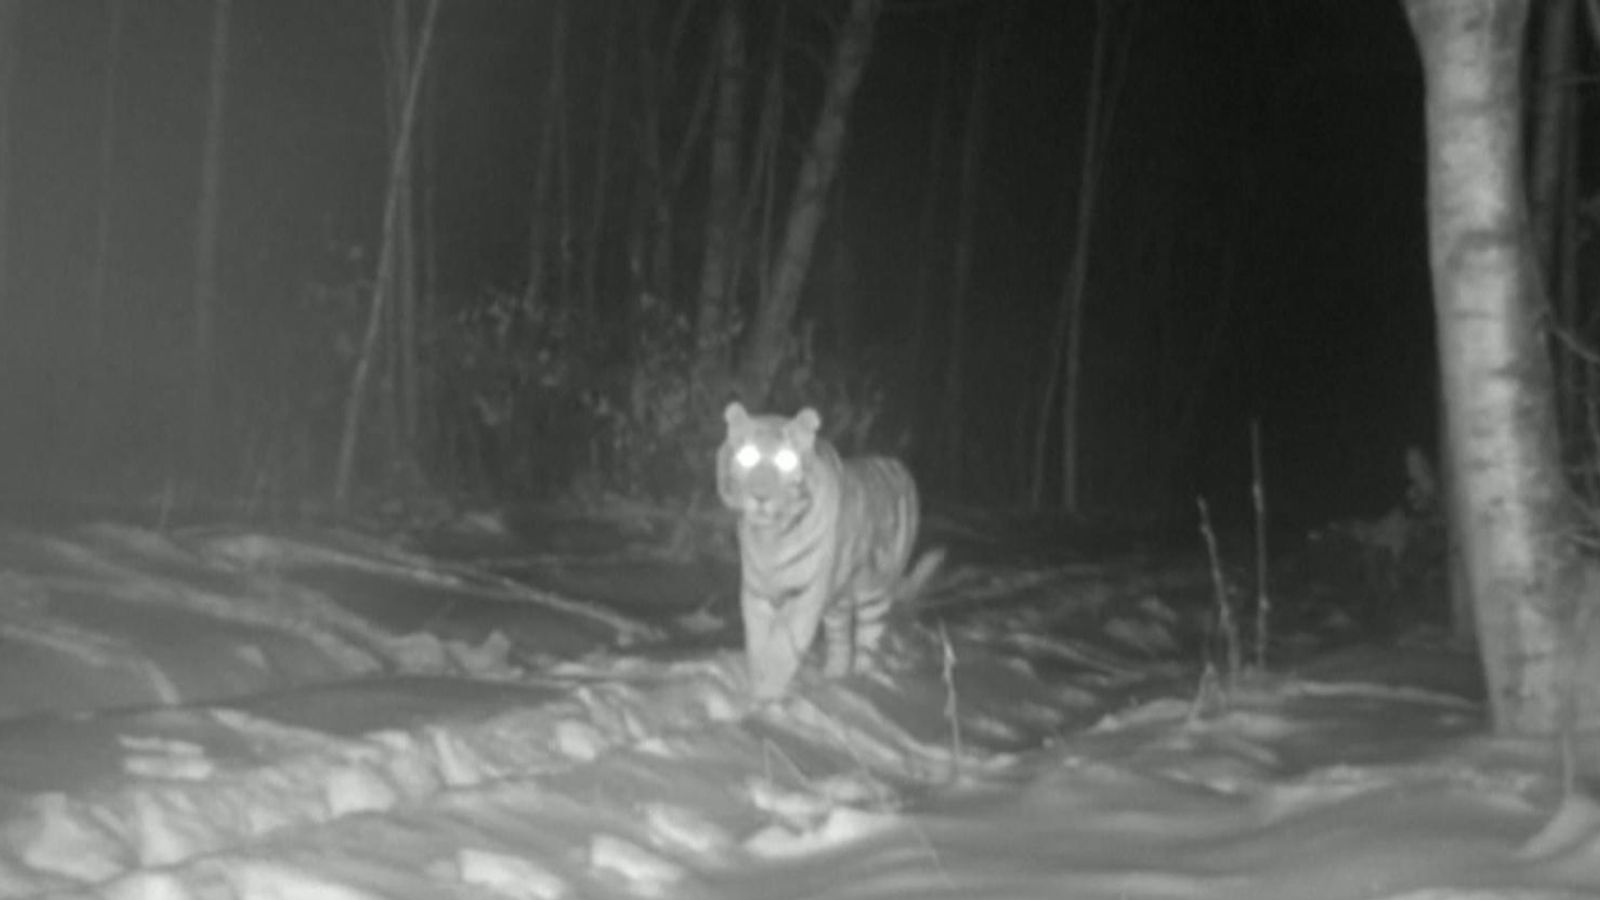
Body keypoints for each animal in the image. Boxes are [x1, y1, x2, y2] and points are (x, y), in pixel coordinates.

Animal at [716, 401, 939, 699]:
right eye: (747, 455)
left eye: (786, 459)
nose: (760, 496)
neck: (770, 538)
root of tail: (899, 466)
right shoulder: (756, 593)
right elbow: (758, 645)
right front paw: (756, 688)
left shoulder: (805, 596)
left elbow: (780, 651)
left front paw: (767, 699)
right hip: (837, 601)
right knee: (840, 640)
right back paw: (833, 680)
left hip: (875, 591)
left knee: (867, 643)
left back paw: (861, 685)